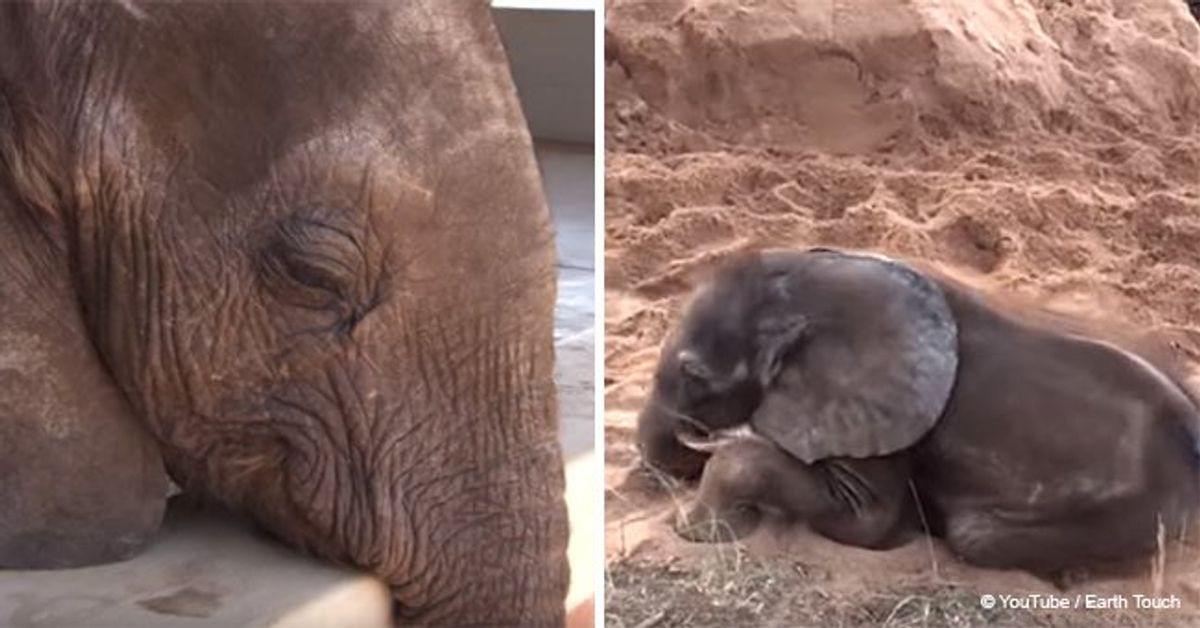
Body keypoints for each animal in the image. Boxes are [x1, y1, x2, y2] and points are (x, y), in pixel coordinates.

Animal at [637, 247, 1200, 578]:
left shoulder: (887, 415)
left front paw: (697, 532)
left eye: (694, 375)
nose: (684, 437)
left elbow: (867, 520)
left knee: (976, 536)